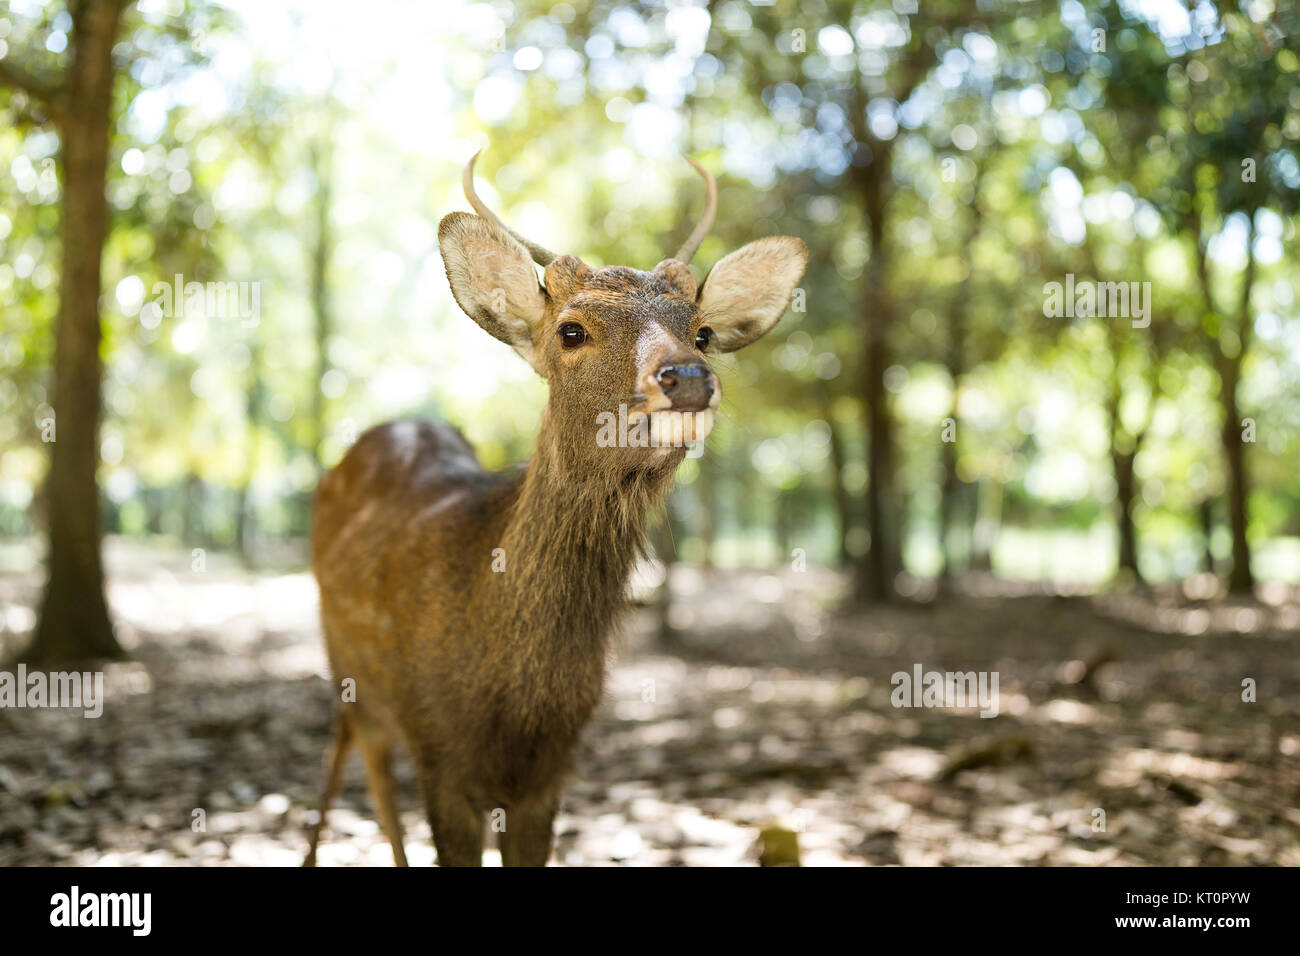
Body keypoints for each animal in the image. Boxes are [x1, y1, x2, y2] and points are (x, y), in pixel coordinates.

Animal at [304, 151, 807, 866]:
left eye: (703, 332)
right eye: (572, 330)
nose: (687, 378)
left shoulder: (550, 776)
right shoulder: (438, 756)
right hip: (350, 674)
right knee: (365, 769)